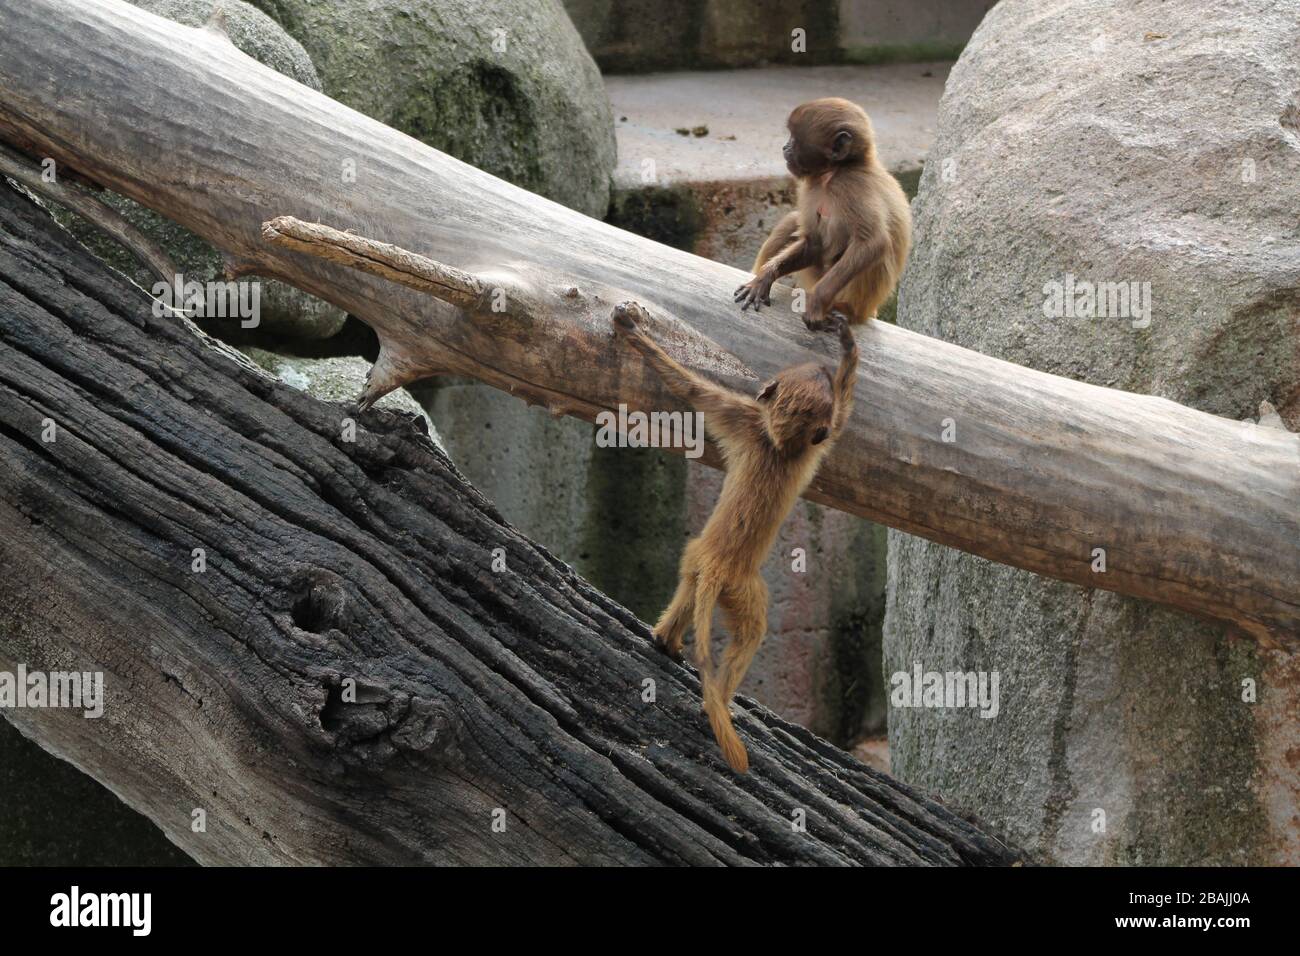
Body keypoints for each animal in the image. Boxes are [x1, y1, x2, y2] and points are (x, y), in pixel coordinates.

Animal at [611, 300, 858, 772]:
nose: (822, 365)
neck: (781, 443)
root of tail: (717, 564)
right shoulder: (765, 423)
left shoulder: (749, 419)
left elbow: (692, 389)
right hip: (725, 578)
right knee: (738, 625)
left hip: (710, 571)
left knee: (711, 605)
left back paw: (674, 650)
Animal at [734, 97, 911, 331]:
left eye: (794, 137)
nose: (785, 147)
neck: (833, 173)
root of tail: (869, 311)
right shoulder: (813, 186)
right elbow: (814, 244)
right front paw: (765, 278)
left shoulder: (850, 185)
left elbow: (873, 242)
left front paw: (816, 304)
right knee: (792, 222)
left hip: (855, 300)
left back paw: (843, 310)